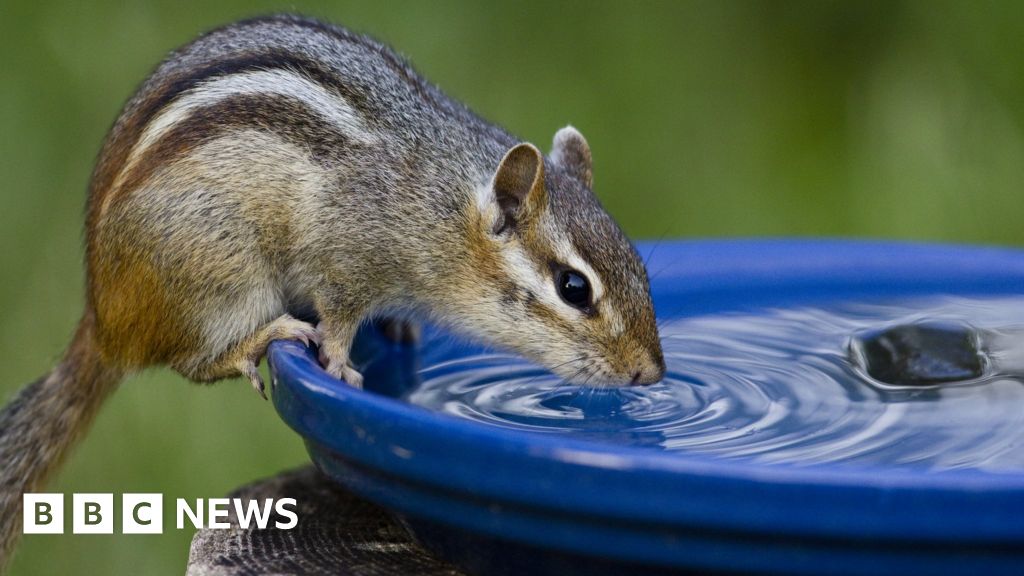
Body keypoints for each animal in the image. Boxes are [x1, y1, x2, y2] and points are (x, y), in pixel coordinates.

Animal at [0, 14, 664, 567]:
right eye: (574, 287)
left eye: (639, 264)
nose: (651, 373)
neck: (442, 206)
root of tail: (103, 318)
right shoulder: (346, 259)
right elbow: (339, 315)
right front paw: (341, 362)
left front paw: (395, 325)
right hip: (220, 275)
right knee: (194, 360)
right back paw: (262, 337)